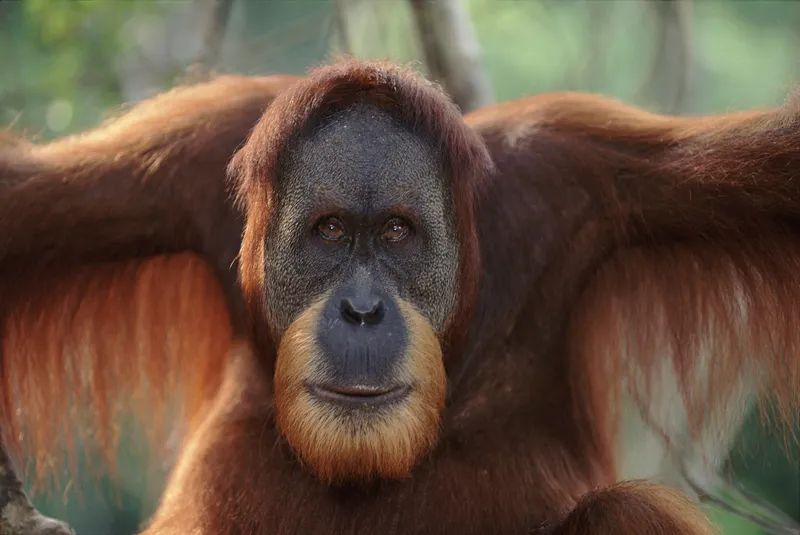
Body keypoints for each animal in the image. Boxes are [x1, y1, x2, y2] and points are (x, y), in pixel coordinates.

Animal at [3, 58, 800, 534]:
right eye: (329, 231)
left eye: (395, 232)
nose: (362, 311)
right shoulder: (181, 162)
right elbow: (26, 205)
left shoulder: (581, 170)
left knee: (626, 512)